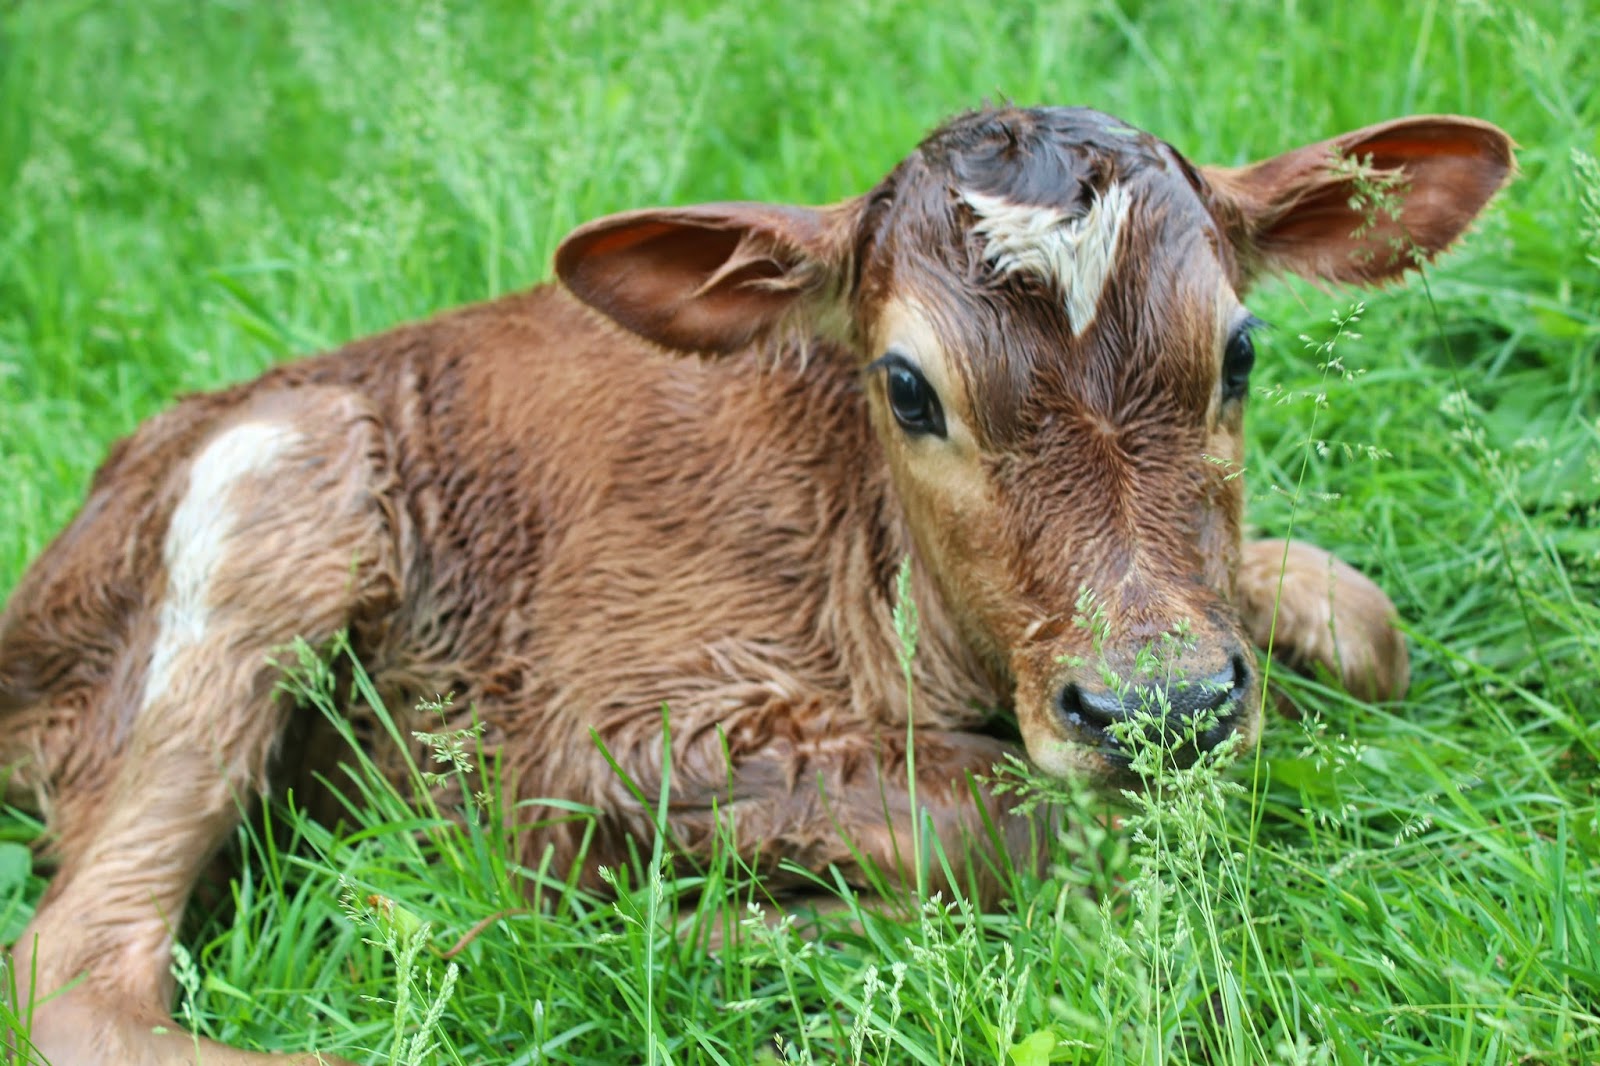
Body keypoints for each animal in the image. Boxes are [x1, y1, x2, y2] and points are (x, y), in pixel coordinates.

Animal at [0, 105, 1512, 1064]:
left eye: (1239, 351)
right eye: (906, 387)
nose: (1161, 706)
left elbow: (1362, 620)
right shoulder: (593, 728)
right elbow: (1020, 815)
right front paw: (683, 927)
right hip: (287, 484)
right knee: (74, 969)